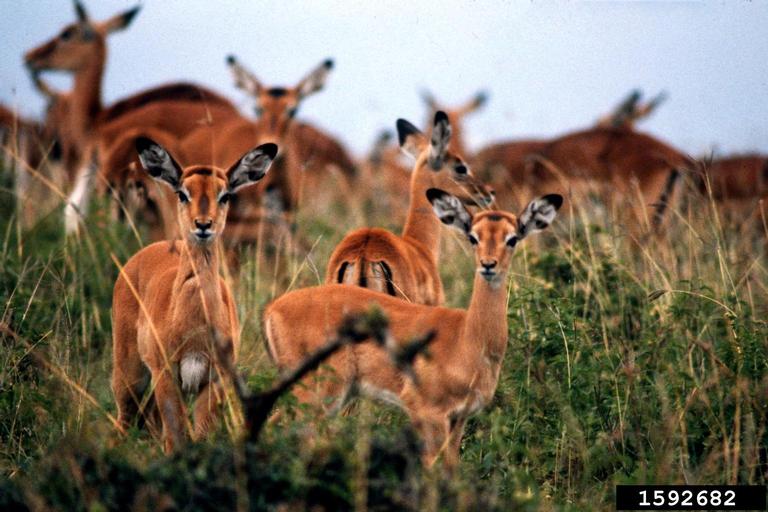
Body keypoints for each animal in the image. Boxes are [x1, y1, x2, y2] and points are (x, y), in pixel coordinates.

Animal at [111, 137, 277, 453]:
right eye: (182, 193)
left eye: (224, 195)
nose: (203, 224)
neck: (195, 329)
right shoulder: (166, 374)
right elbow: (175, 439)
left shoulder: (213, 381)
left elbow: (201, 437)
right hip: (130, 373)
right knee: (124, 421)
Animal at [265, 188, 562, 469]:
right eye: (473, 237)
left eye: (512, 238)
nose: (488, 265)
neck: (468, 338)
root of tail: (272, 309)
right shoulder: (429, 414)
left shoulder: (458, 419)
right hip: (317, 396)